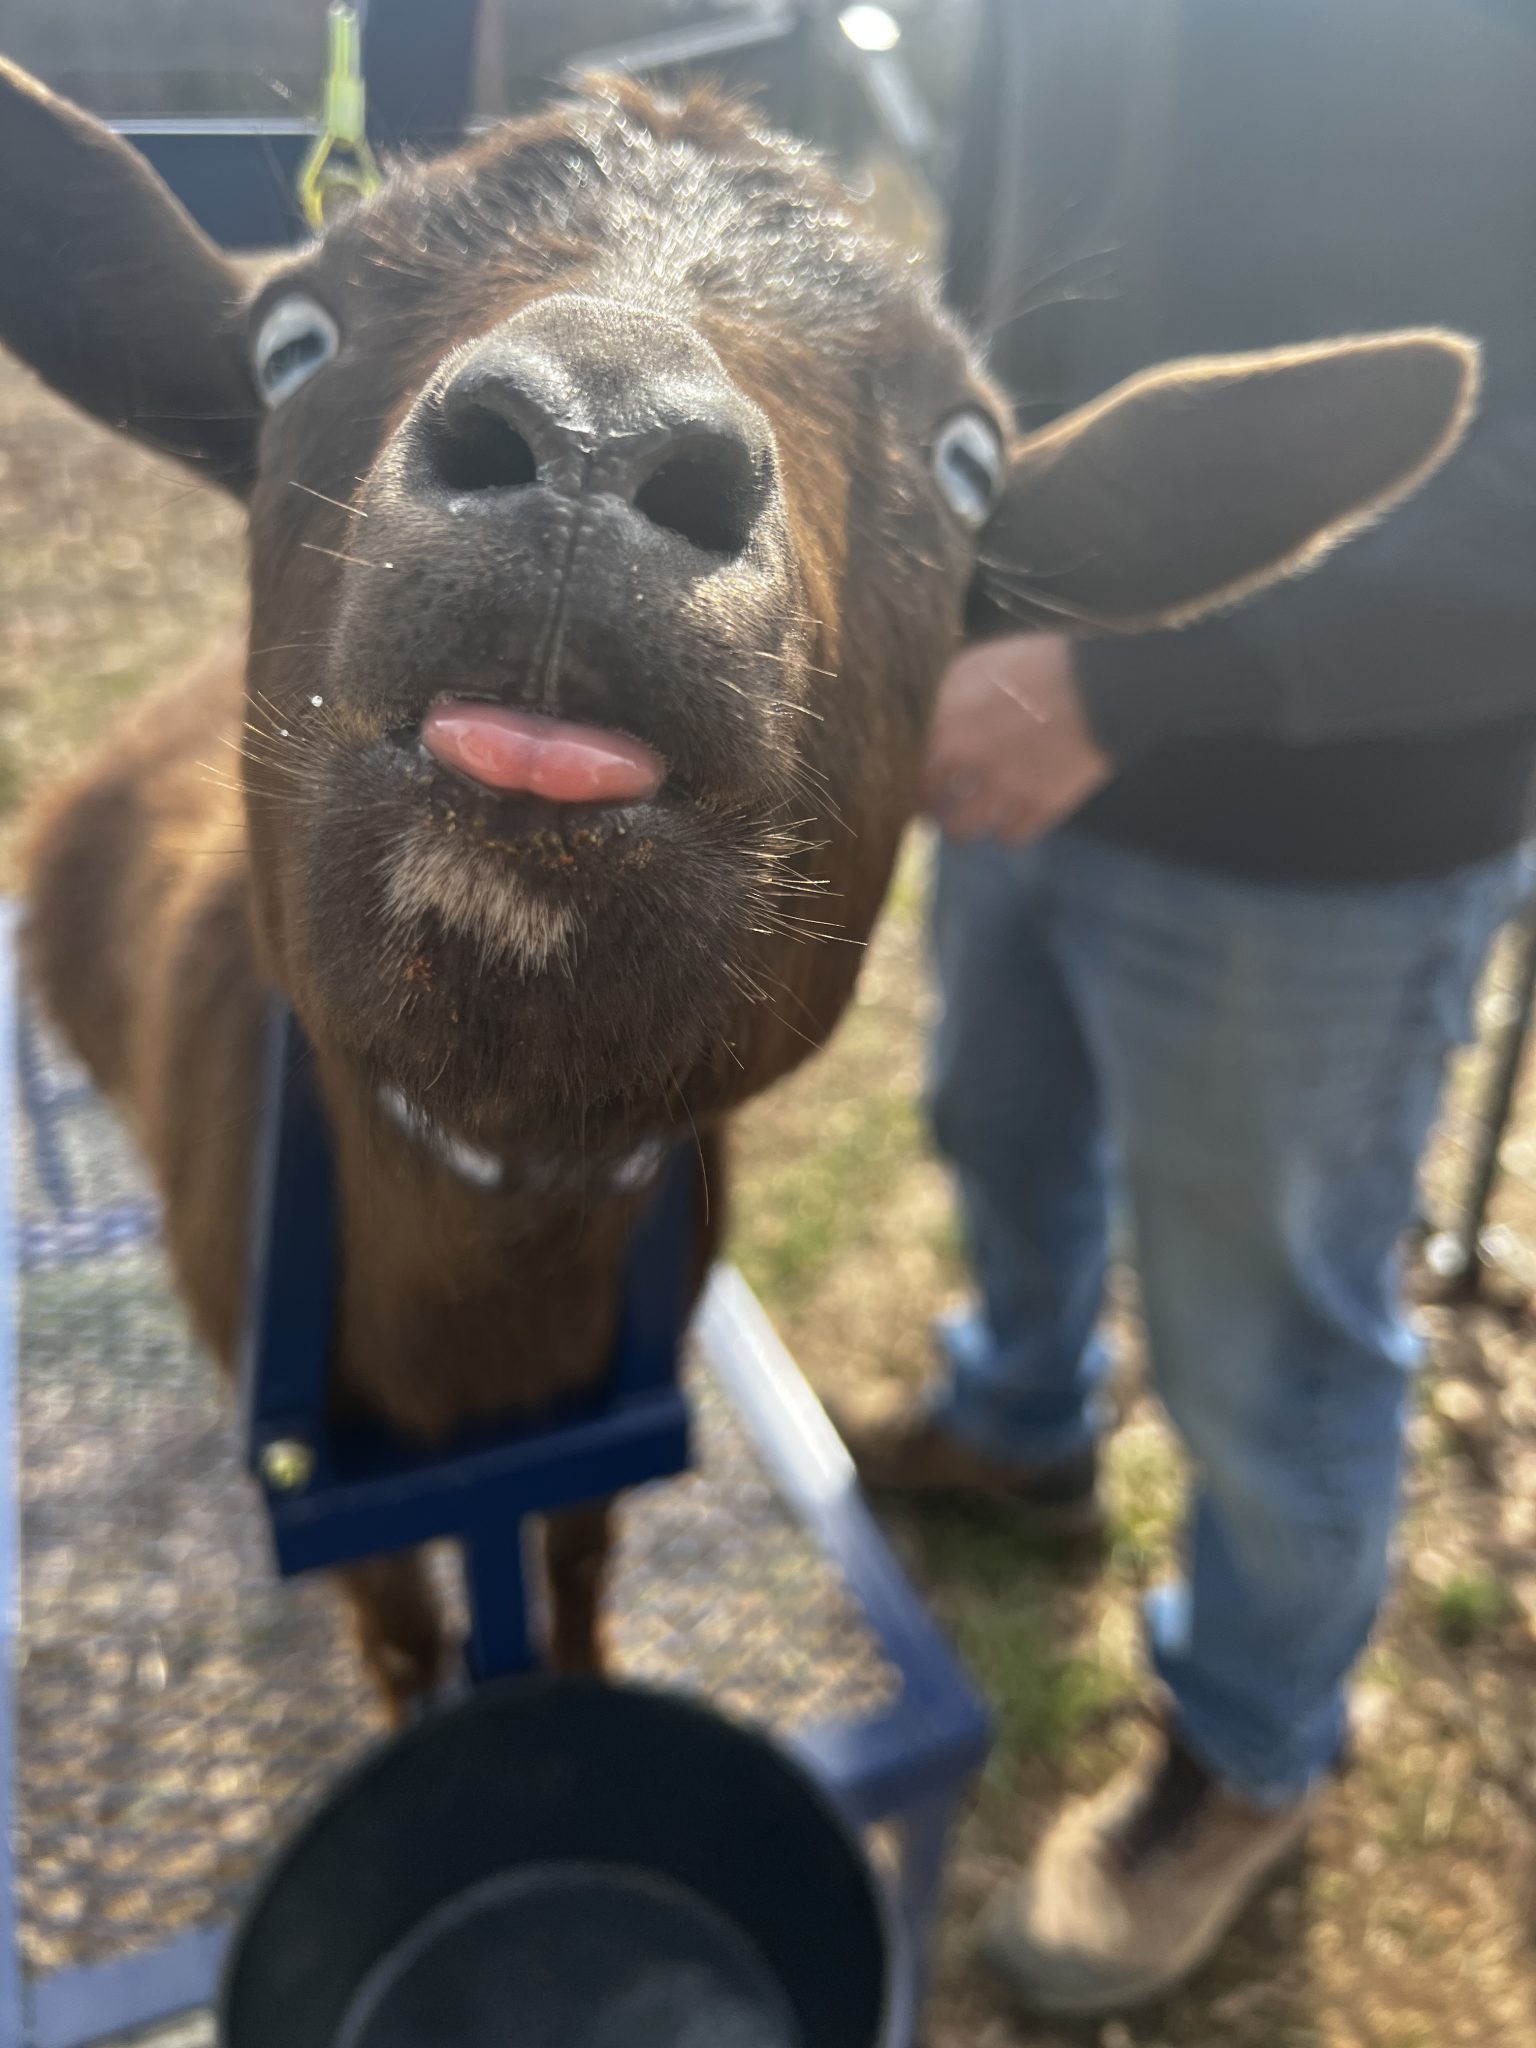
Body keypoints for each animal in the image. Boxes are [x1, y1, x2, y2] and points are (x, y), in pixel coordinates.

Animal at [0, 55, 1477, 1717]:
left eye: (969, 465)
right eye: (289, 340)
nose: (595, 428)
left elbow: (582, 1563)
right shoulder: (336, 1486)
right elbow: (399, 1634)